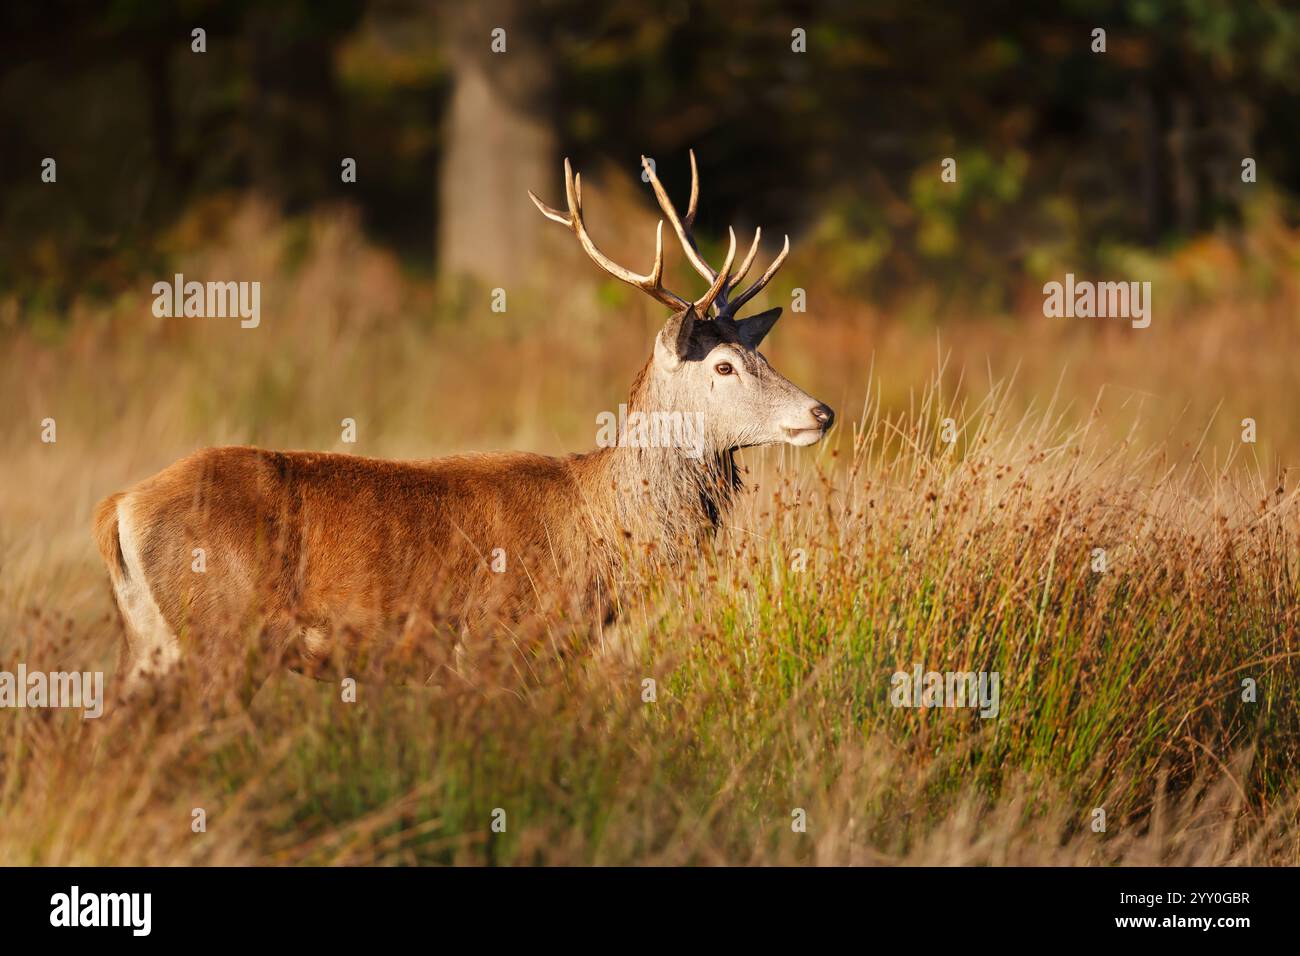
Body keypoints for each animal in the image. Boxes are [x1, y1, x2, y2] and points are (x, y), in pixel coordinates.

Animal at [92, 151, 834, 703]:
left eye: (762, 353)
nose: (821, 412)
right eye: (723, 366)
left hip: (152, 642)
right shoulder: (499, 638)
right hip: (221, 630)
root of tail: (119, 507)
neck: (597, 535)